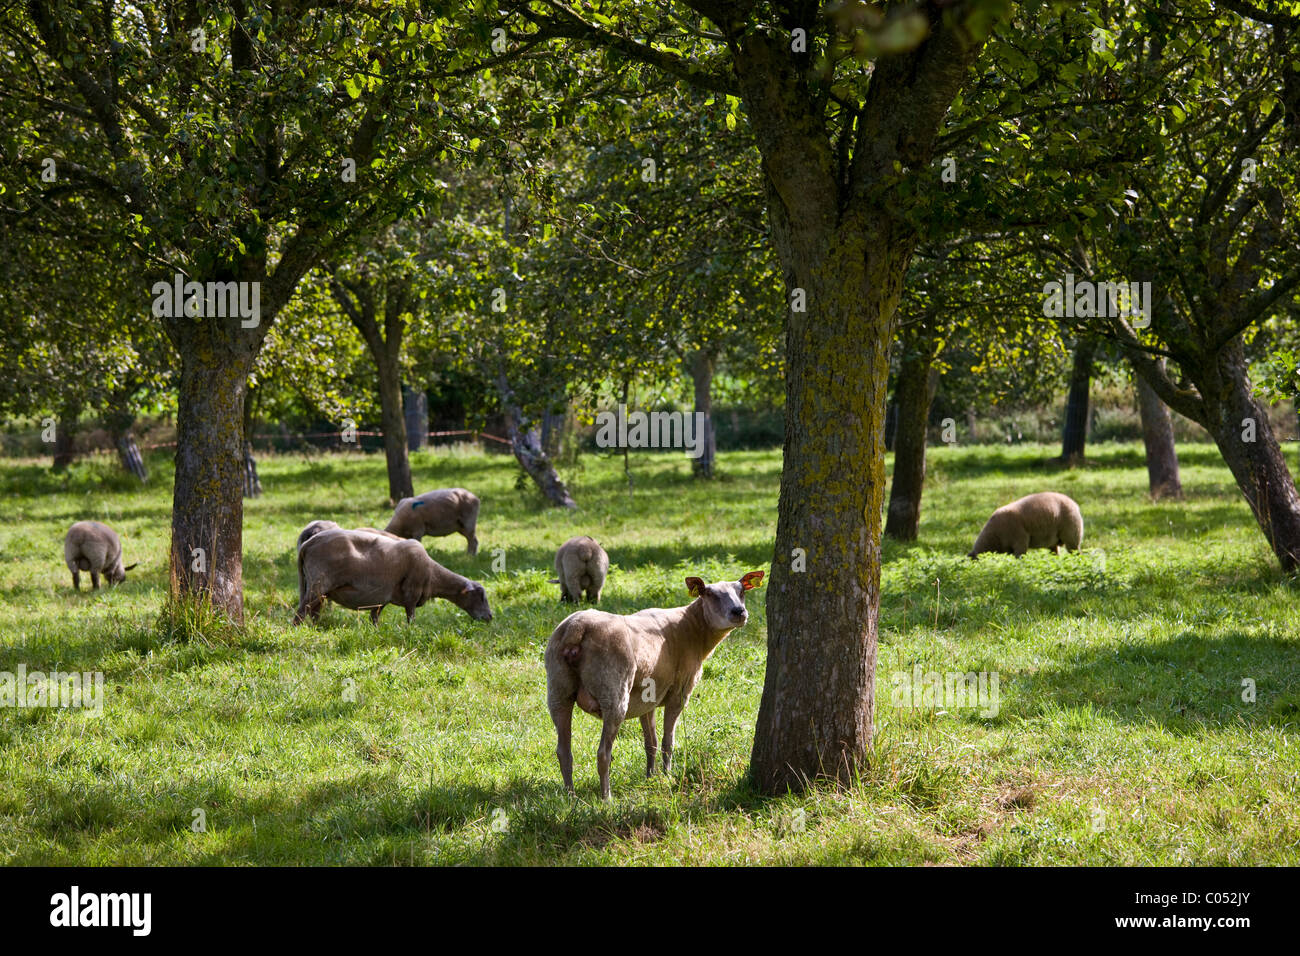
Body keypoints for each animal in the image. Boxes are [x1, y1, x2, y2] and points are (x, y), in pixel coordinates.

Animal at [294, 527, 492, 625]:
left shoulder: (382, 598)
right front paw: (411, 631)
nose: (489, 617)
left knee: (313, 612)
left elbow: (374, 618)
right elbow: (411, 618)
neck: (433, 576)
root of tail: (307, 545)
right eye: (481, 597)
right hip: (318, 583)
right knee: (300, 612)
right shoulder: (412, 594)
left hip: (318, 589)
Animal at [545, 570, 764, 800]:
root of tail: (576, 628)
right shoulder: (679, 694)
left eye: (742, 591)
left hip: (558, 691)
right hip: (614, 694)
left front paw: (650, 776)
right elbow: (668, 741)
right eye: (710, 594)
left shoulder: (647, 699)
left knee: (563, 751)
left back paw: (570, 795)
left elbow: (651, 743)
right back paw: (607, 797)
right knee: (603, 753)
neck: (692, 628)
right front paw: (667, 775)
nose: (739, 612)